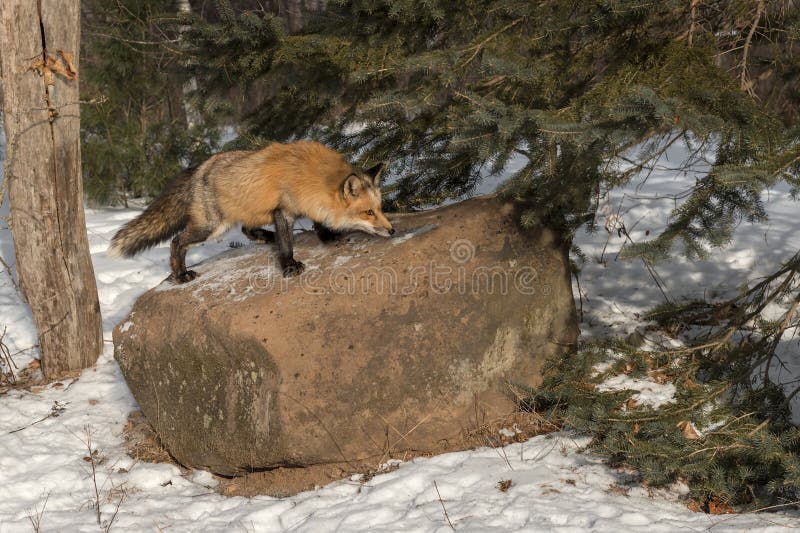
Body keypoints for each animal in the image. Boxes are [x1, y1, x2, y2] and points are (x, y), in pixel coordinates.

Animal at [108, 140, 395, 282]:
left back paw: (266, 237)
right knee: (176, 241)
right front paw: (289, 266)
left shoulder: (307, 204)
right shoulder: (283, 211)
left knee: (247, 229)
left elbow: (318, 222)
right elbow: (286, 244)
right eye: (368, 213)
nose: (392, 231)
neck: (308, 175)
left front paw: (328, 235)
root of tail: (198, 168)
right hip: (211, 227)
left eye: (380, 209)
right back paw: (180, 275)